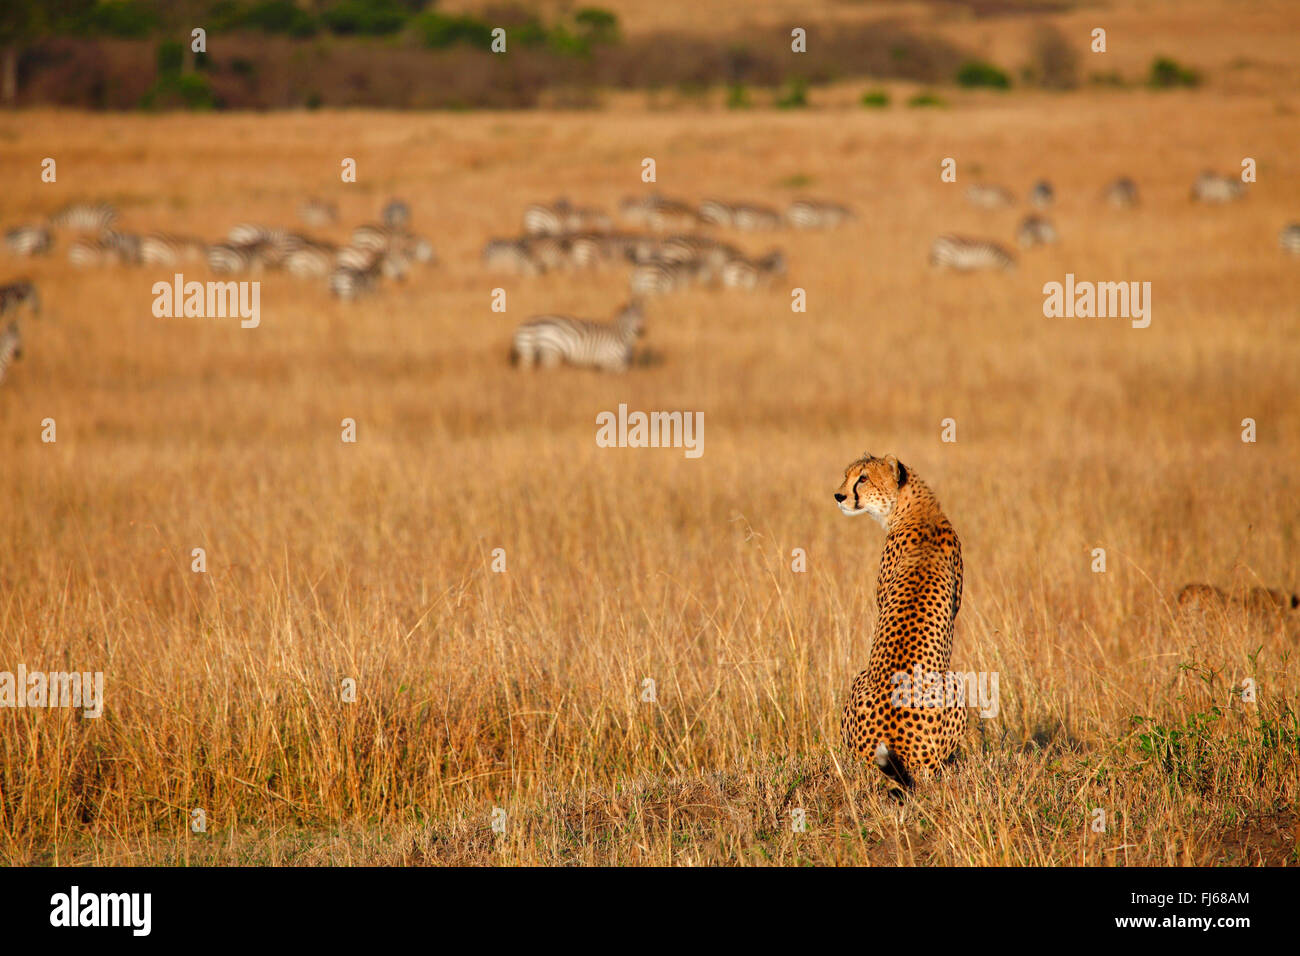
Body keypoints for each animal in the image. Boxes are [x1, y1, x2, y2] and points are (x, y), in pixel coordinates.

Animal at [511, 300, 644, 372]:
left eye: (643, 315)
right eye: (632, 317)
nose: (643, 331)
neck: (621, 335)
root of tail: (532, 322)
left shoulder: (618, 362)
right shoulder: (609, 360)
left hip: (529, 350)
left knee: (525, 368)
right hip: (551, 349)